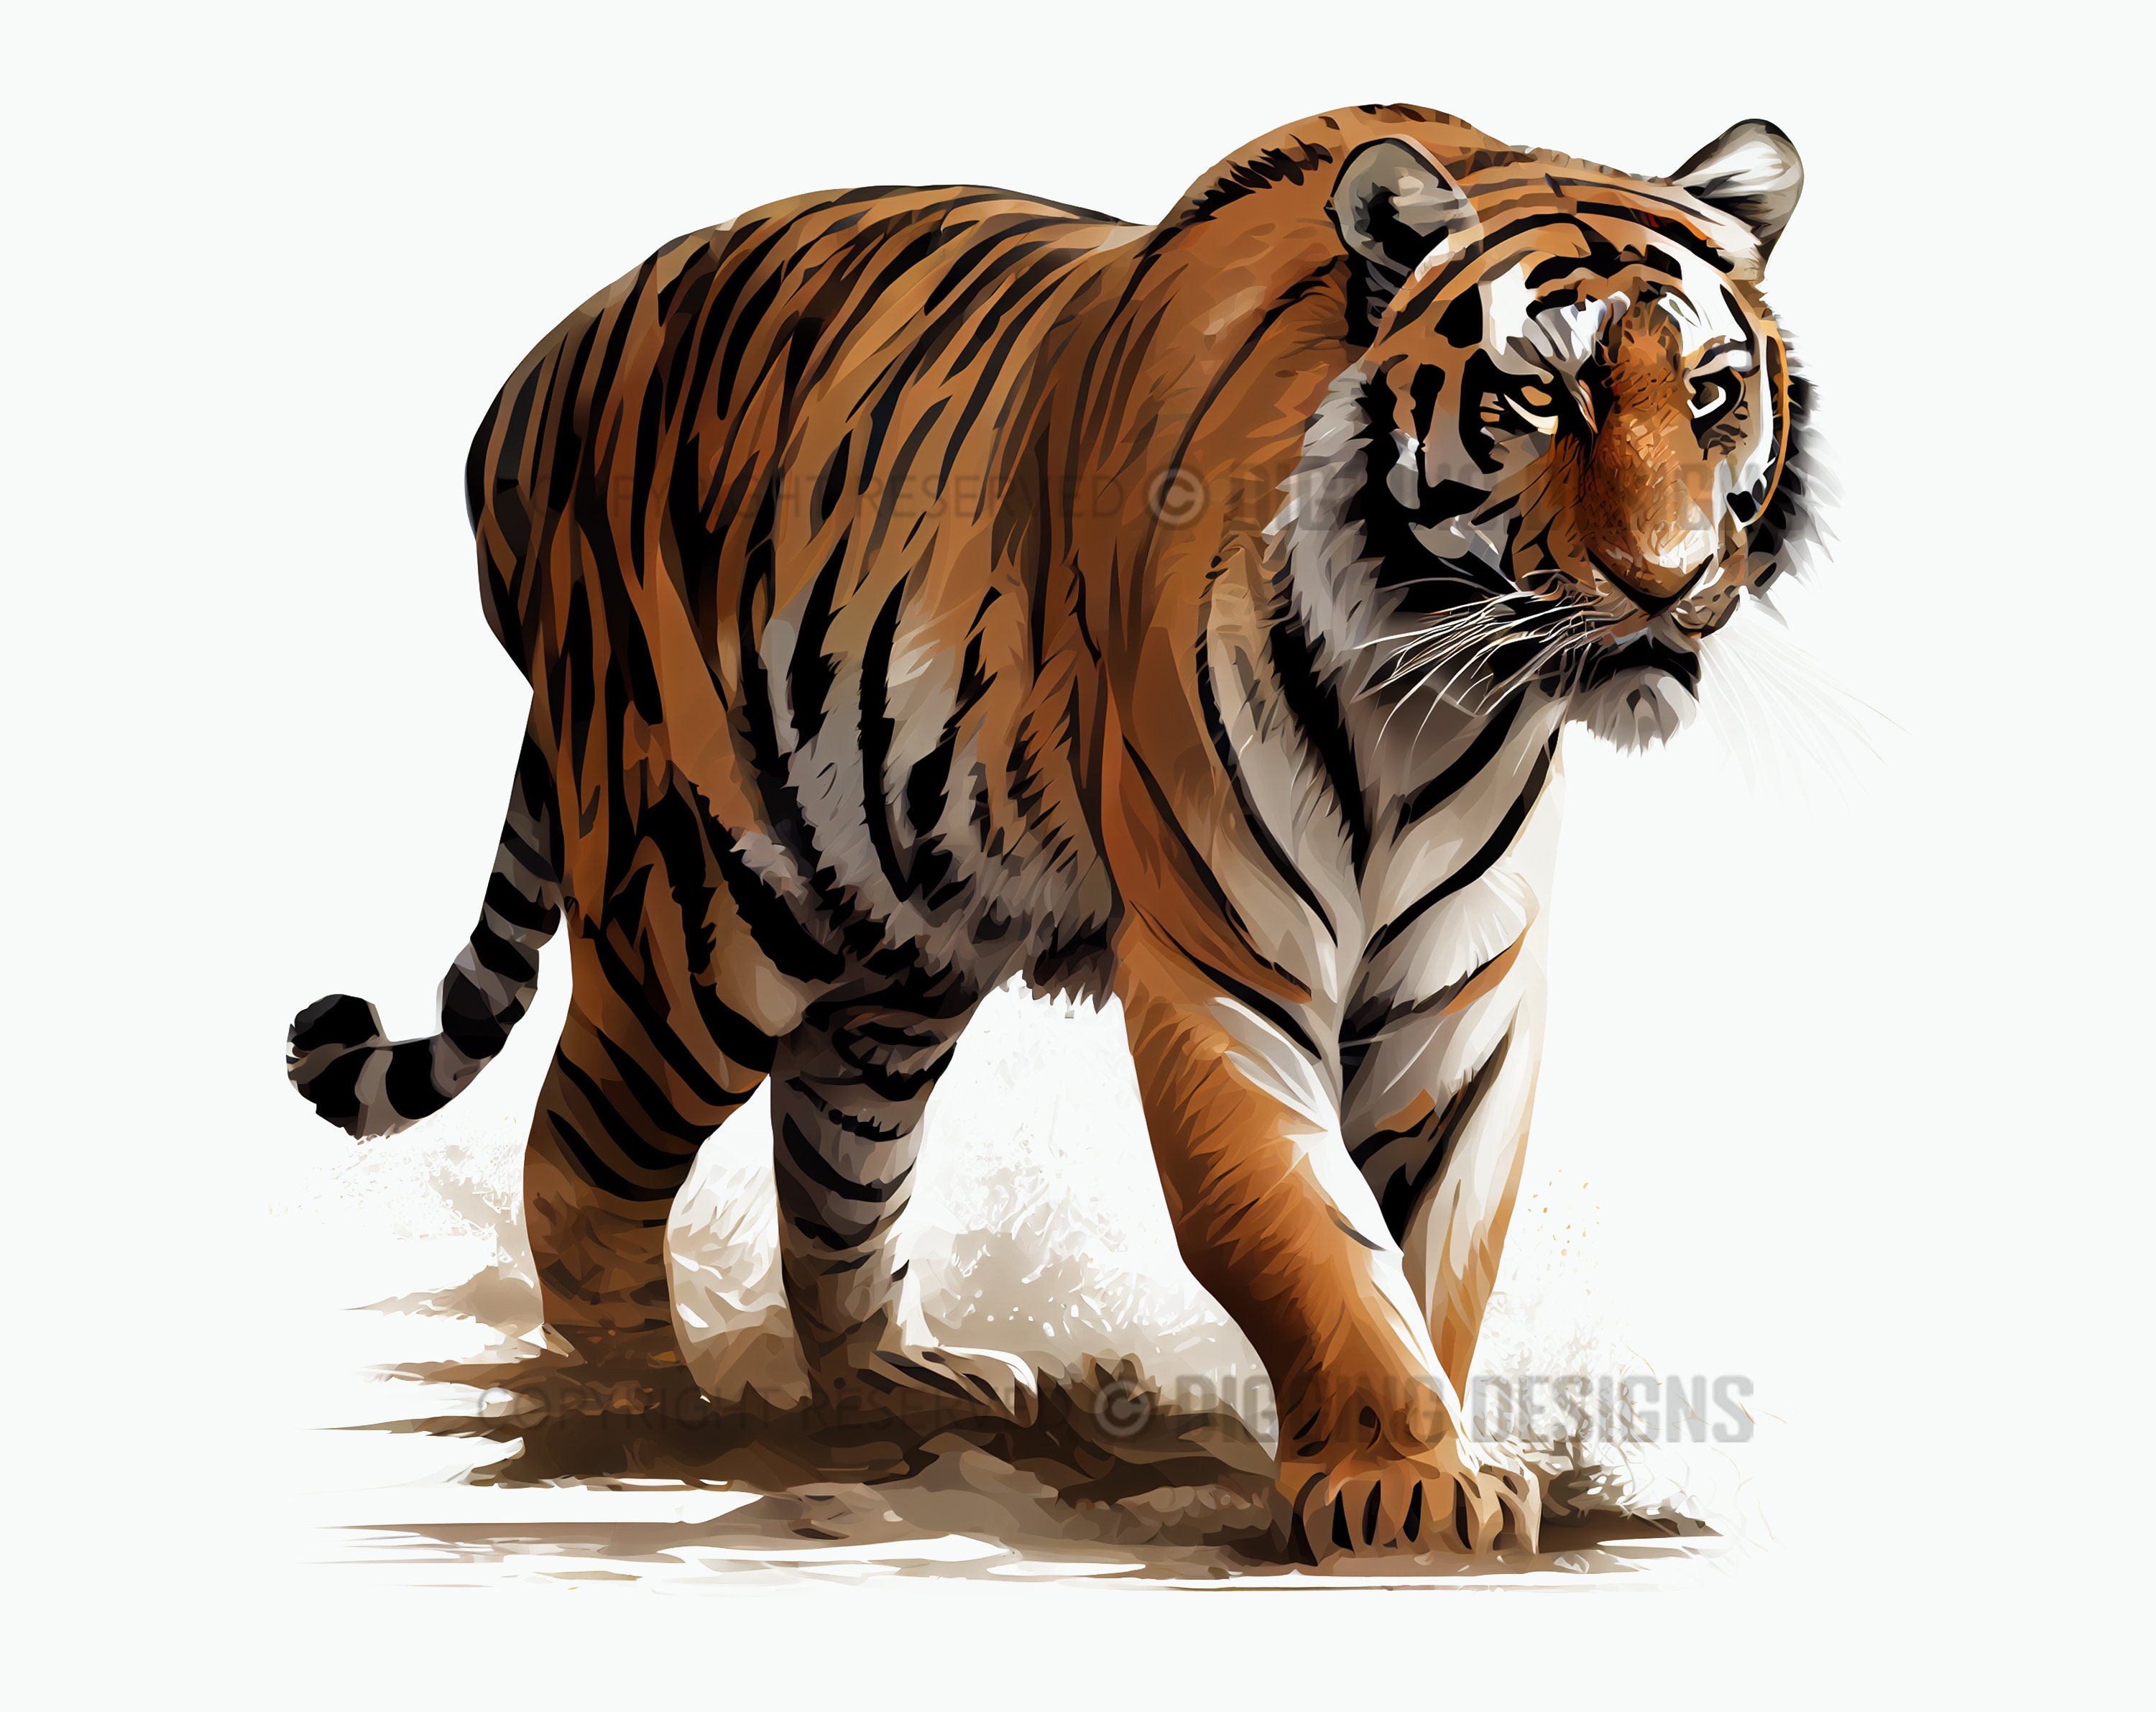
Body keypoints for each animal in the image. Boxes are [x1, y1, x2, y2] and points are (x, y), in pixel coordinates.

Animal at [288, 104, 1814, 1562]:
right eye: (1539, 396)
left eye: (1710, 393)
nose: (1669, 582)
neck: (1428, 688)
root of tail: (530, 379)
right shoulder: (1221, 962)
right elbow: (1308, 1230)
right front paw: (1404, 1486)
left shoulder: (1461, 986)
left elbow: (1436, 1237)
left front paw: (1421, 1455)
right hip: (699, 897)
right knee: (580, 1148)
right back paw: (637, 1417)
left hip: (903, 923)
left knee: (836, 1143)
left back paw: (892, 1381)